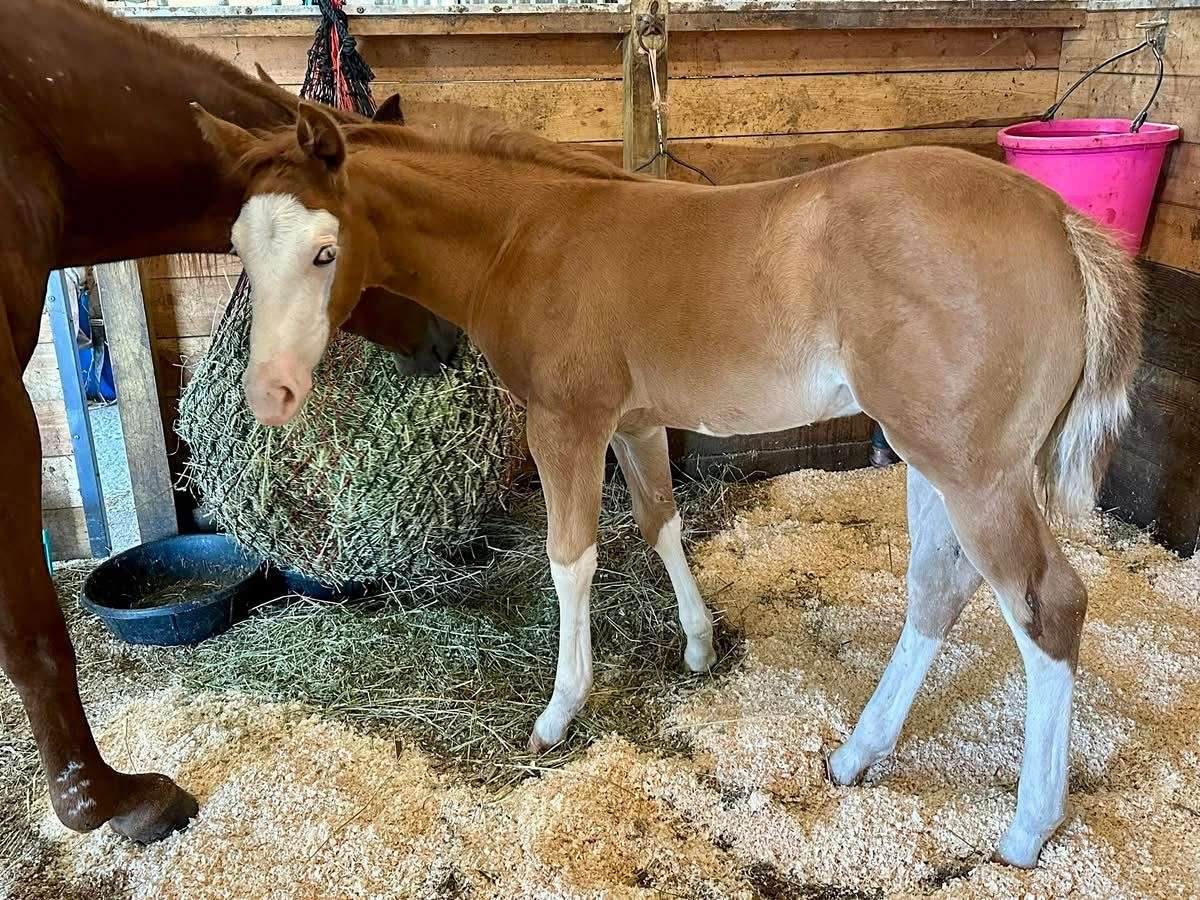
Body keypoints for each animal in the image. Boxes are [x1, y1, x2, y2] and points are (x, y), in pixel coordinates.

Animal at [193, 101, 1143, 868]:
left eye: (325, 252)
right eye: (238, 246)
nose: (270, 394)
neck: (524, 235)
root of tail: (1059, 221)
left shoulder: (565, 423)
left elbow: (572, 557)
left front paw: (561, 709)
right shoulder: (635, 423)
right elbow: (660, 521)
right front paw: (697, 646)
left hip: (976, 473)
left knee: (1048, 607)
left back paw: (1027, 828)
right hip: (933, 464)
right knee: (938, 590)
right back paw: (855, 755)